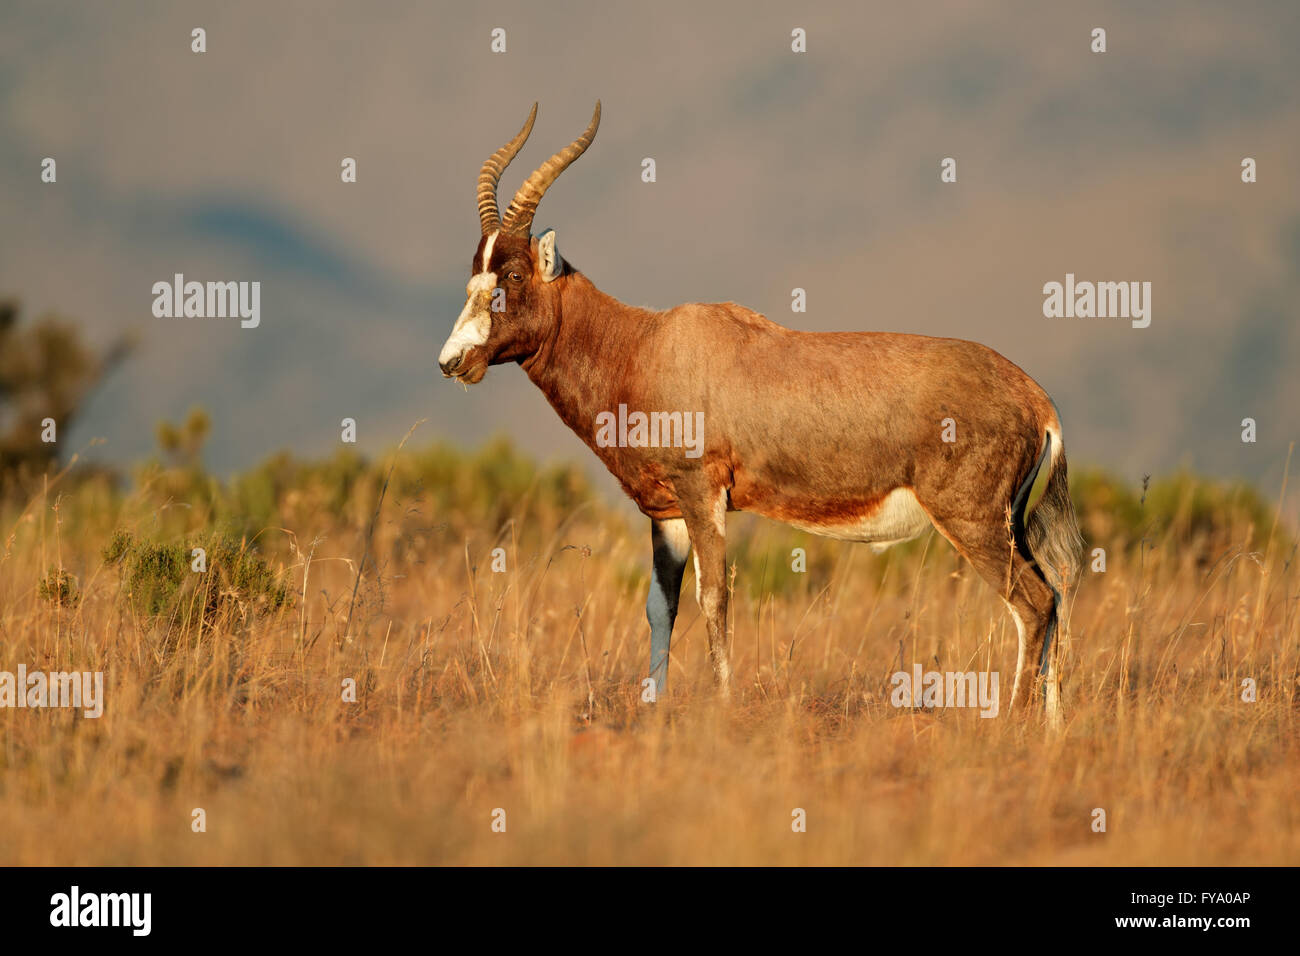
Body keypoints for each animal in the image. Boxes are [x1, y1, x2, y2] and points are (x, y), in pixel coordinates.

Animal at [439, 102, 1084, 720]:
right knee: (1055, 593)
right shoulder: (667, 511)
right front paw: (655, 707)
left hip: (974, 522)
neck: (646, 344)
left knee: (1033, 602)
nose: (452, 362)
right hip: (1011, 523)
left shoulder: (703, 492)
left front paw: (723, 705)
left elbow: (715, 598)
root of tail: (1036, 398)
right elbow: (660, 606)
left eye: (513, 273)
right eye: (474, 270)